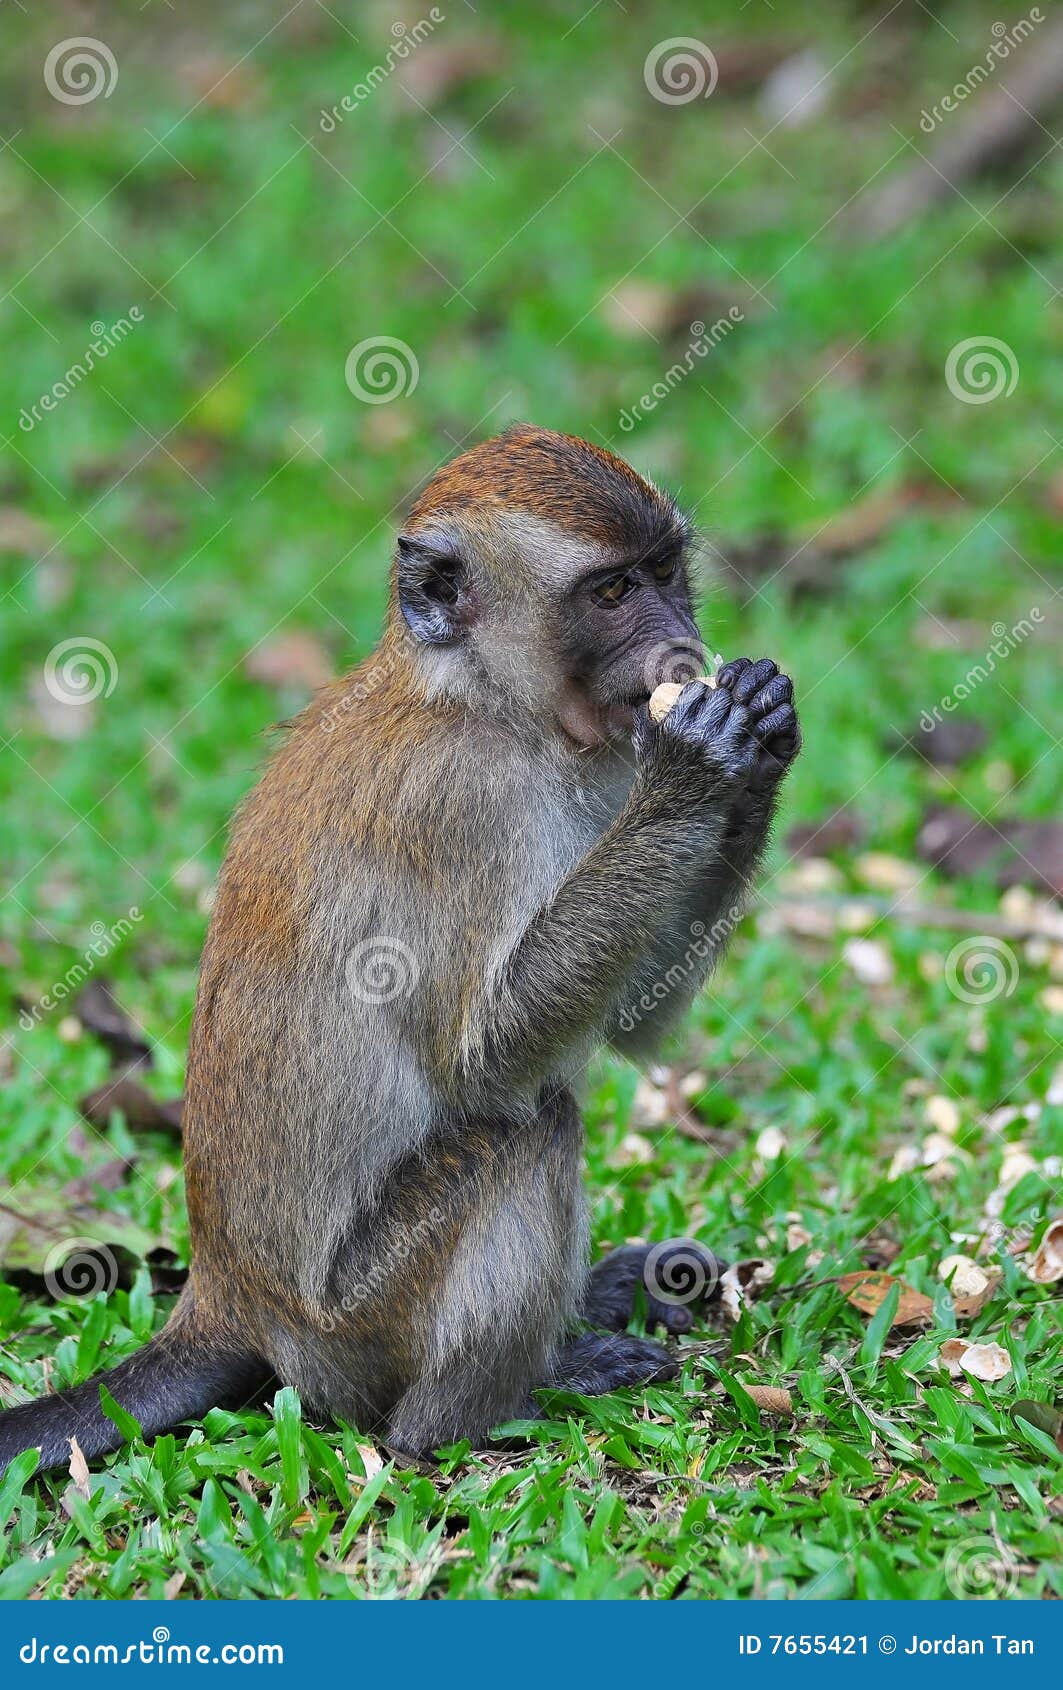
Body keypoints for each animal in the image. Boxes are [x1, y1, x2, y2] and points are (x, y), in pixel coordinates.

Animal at [0, 424, 800, 1476]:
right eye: (611, 592)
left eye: (666, 572)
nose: (680, 644)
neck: (482, 701)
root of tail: (227, 1299)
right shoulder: (464, 807)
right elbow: (486, 1055)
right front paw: (699, 768)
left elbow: (633, 1018)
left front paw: (760, 739)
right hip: (358, 1321)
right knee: (526, 1131)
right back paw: (481, 1411)